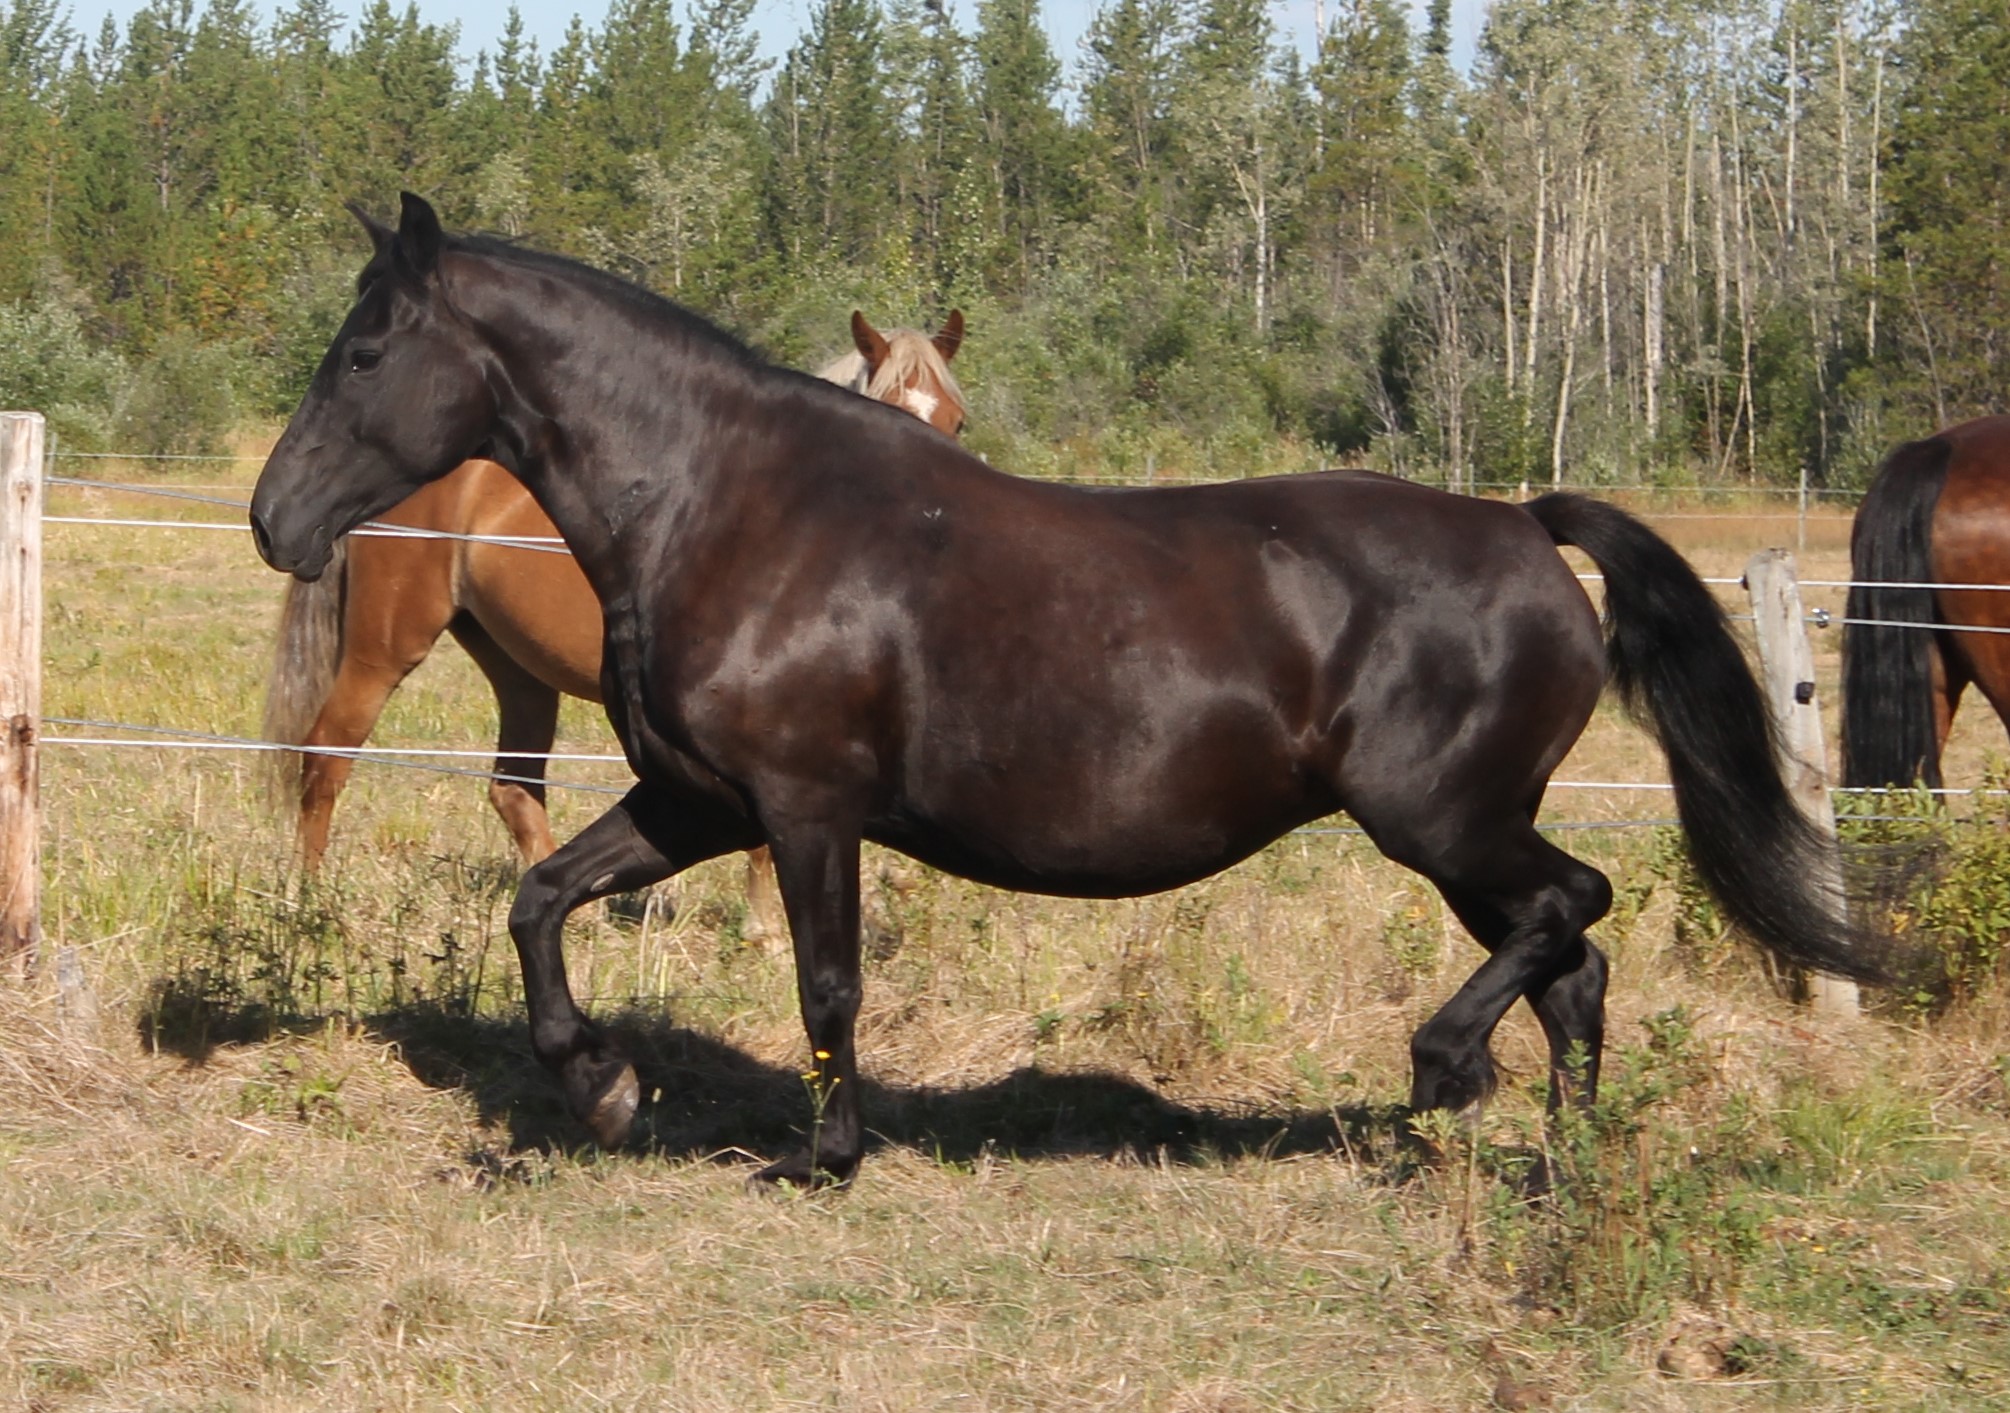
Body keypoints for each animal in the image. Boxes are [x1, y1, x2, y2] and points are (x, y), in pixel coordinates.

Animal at [262, 309, 967, 890]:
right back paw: (309, 900)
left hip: (517, 670)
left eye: (956, 421)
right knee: (324, 757)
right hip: (383, 650)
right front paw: (764, 930)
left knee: (514, 789)